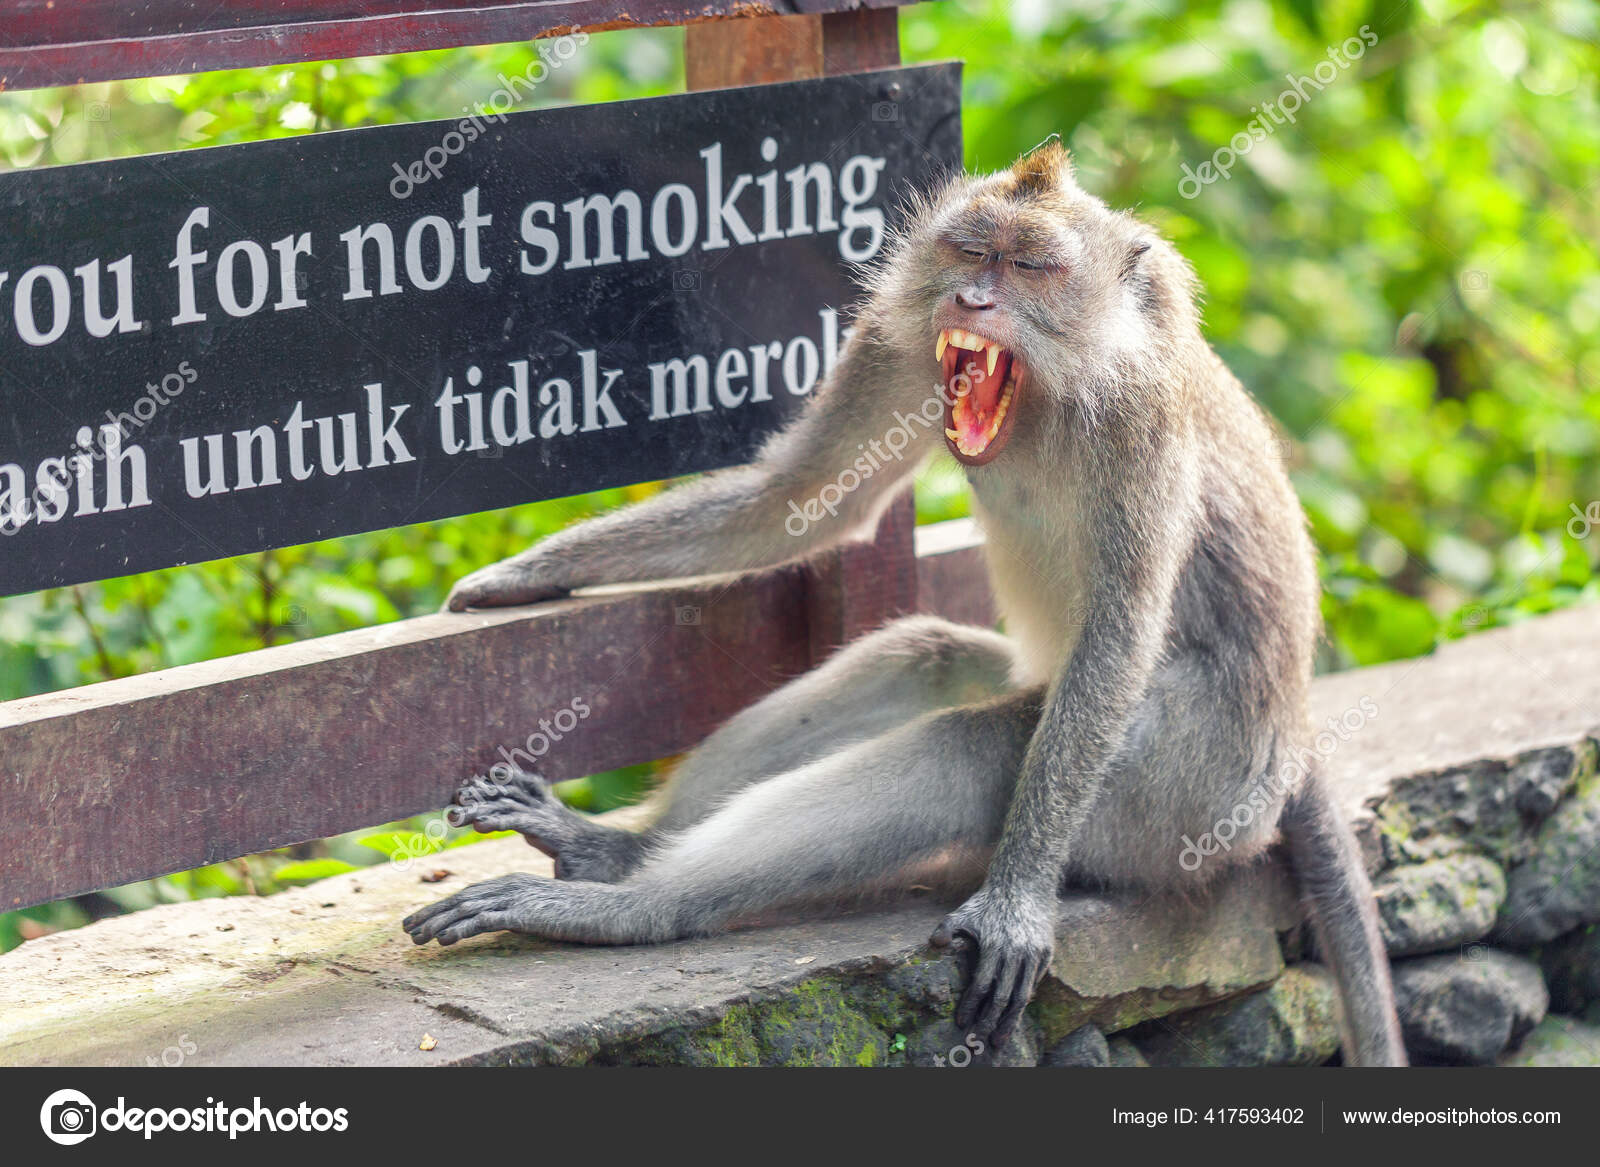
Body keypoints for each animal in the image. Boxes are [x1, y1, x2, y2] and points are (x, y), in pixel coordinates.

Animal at [403, 141, 1406, 1066]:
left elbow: (1119, 636)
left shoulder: (1143, 418)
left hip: (1191, 797)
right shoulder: (898, 347)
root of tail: (1293, 743)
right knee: (923, 653)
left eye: (1030, 266)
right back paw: (612, 852)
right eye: (971, 252)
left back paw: (627, 908)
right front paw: (530, 572)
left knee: (974, 750)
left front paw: (1016, 904)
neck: (1052, 391)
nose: (972, 303)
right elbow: (805, 498)